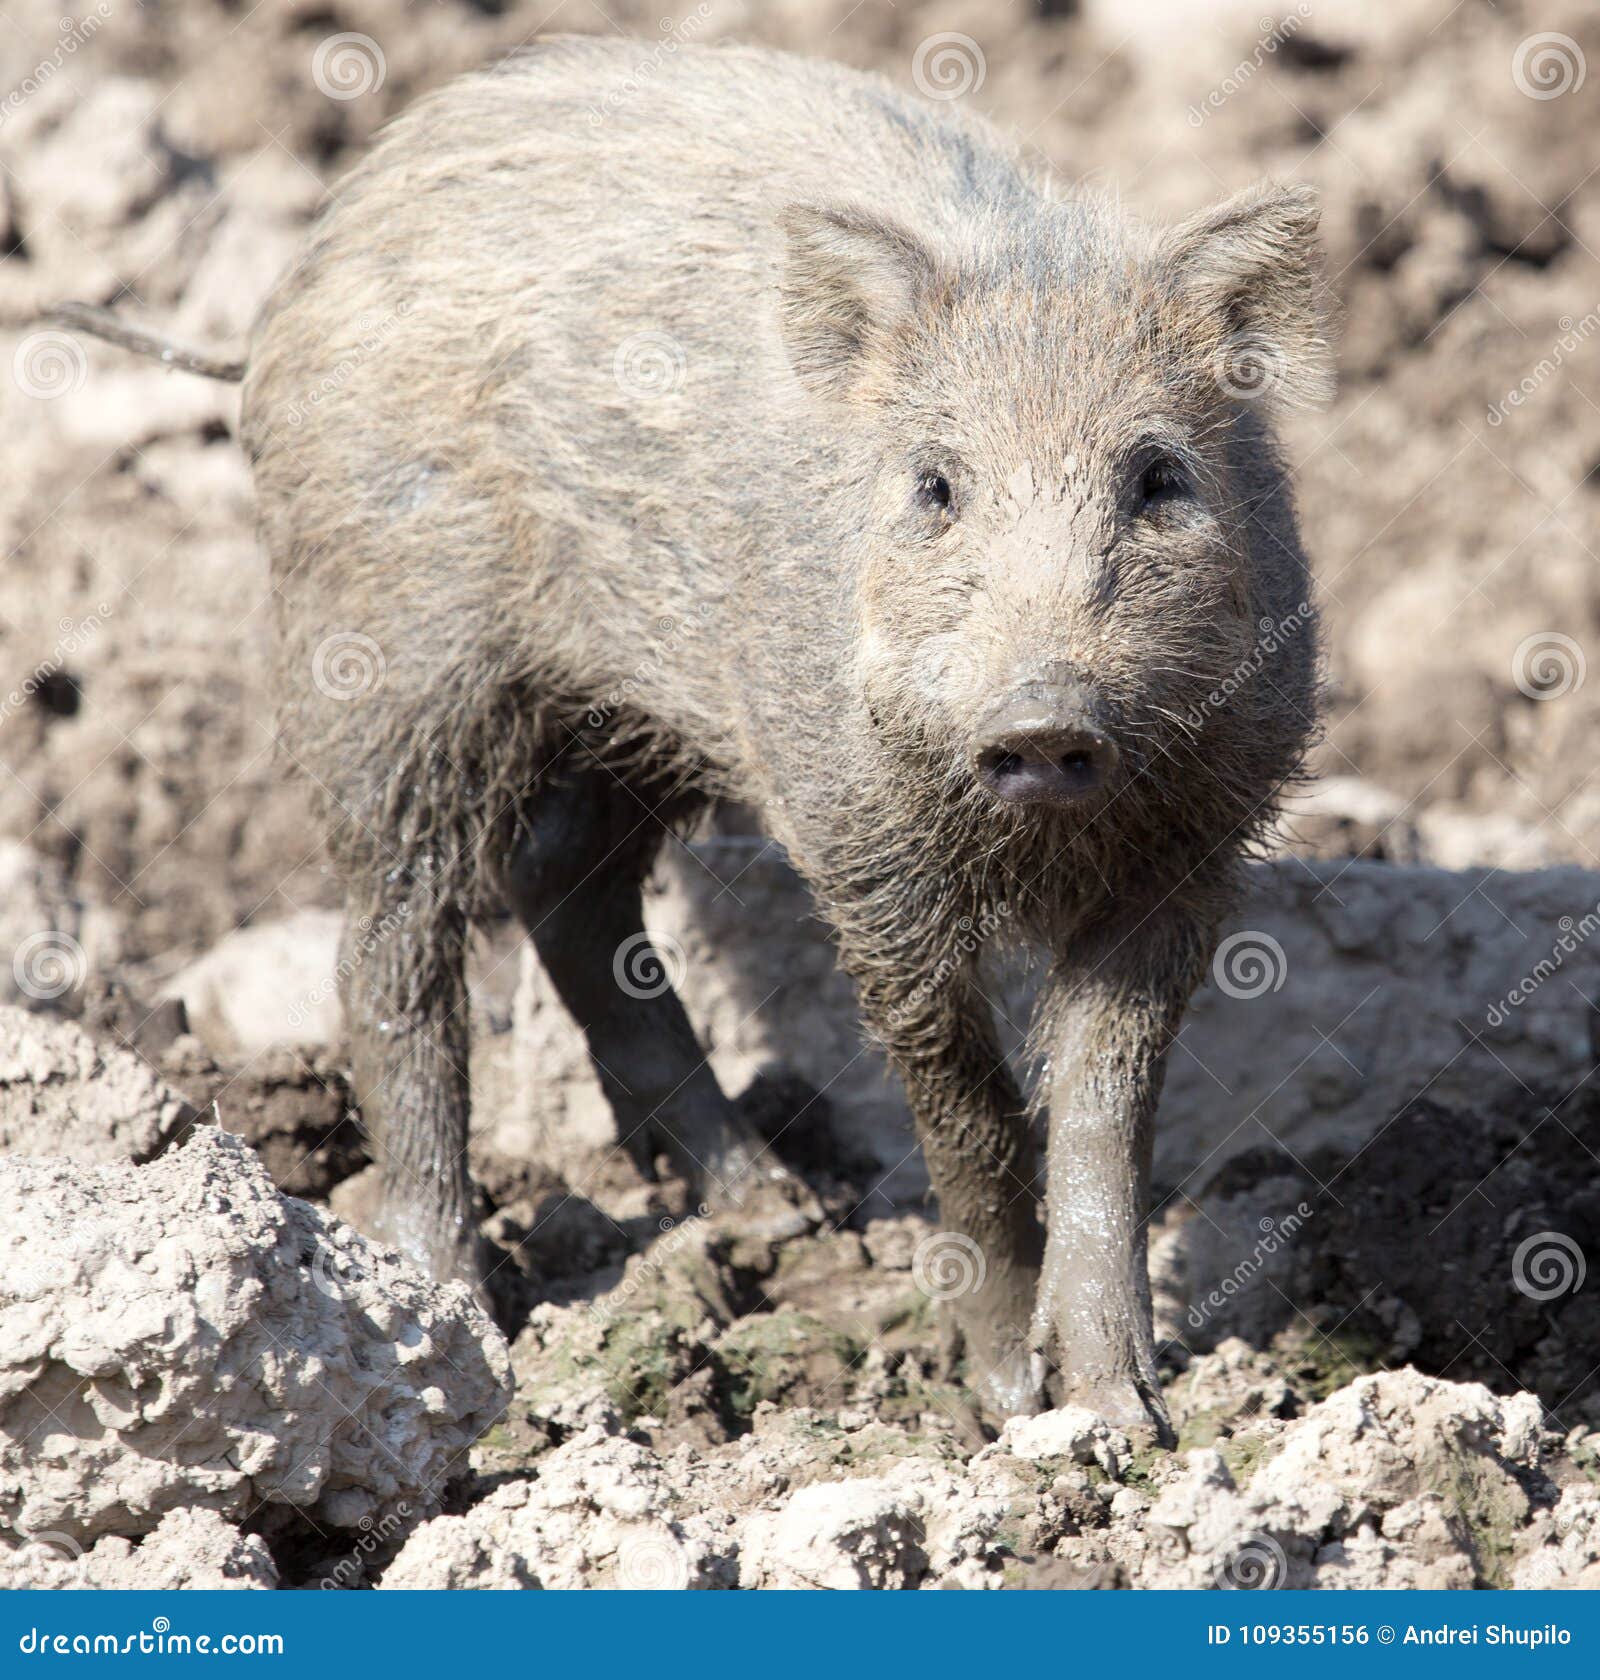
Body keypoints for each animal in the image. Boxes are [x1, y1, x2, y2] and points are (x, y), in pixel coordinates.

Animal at [56, 36, 1329, 1438]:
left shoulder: (1191, 849)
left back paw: (777, 1217)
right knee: (394, 949)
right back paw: (456, 1310)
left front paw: (1116, 1423)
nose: (1039, 721)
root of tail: (312, 259)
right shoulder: (855, 842)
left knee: (563, 889)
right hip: (385, 664)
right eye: (936, 486)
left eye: (1159, 478)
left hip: (616, 721)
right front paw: (1005, 1404)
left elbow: (1106, 1123)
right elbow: (970, 1122)